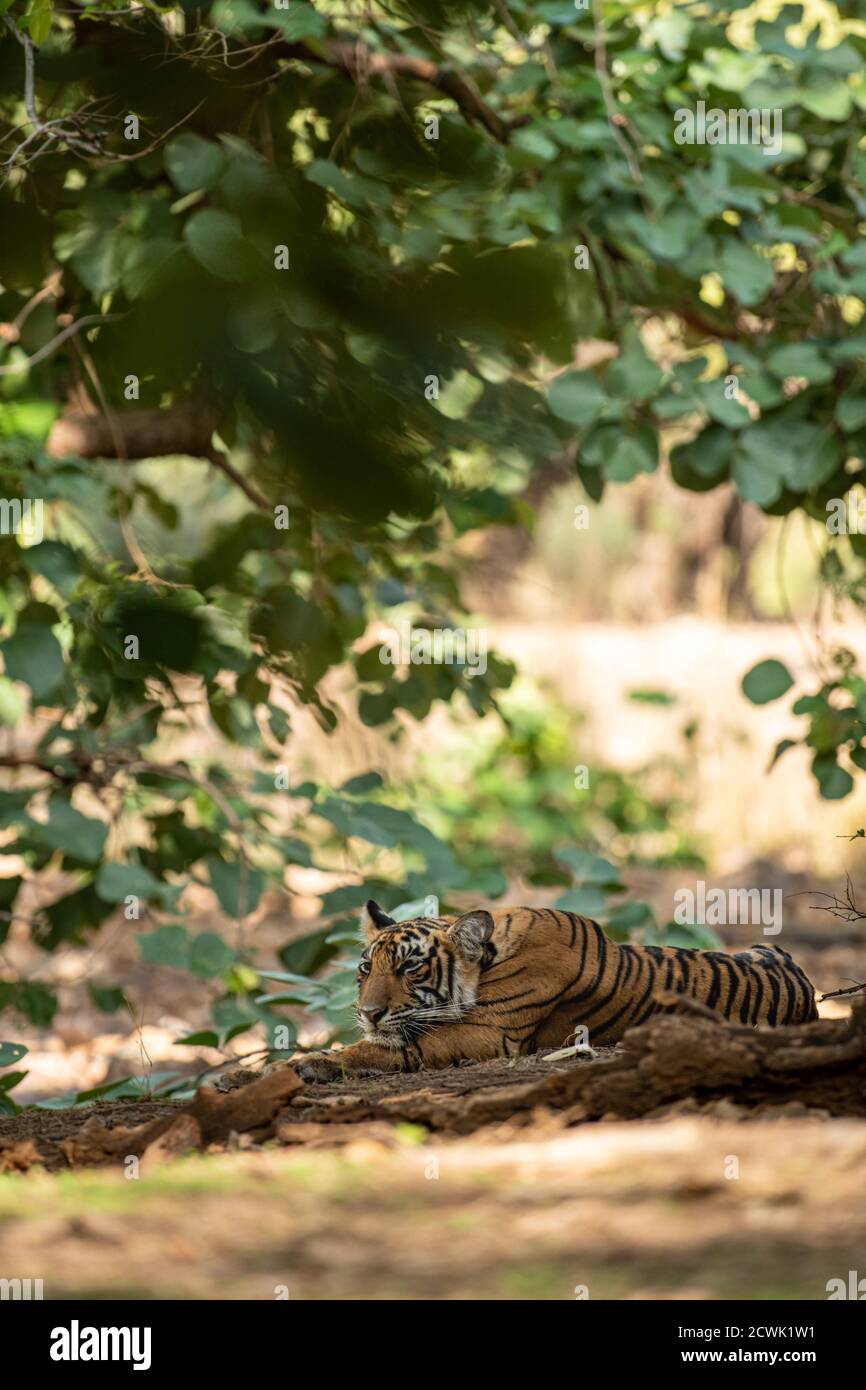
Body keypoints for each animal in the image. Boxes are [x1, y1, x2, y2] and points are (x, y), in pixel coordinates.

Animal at [293, 899, 819, 1083]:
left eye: (411, 968)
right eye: (366, 969)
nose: (369, 1013)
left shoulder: (491, 1033)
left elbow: (389, 1048)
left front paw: (307, 1064)